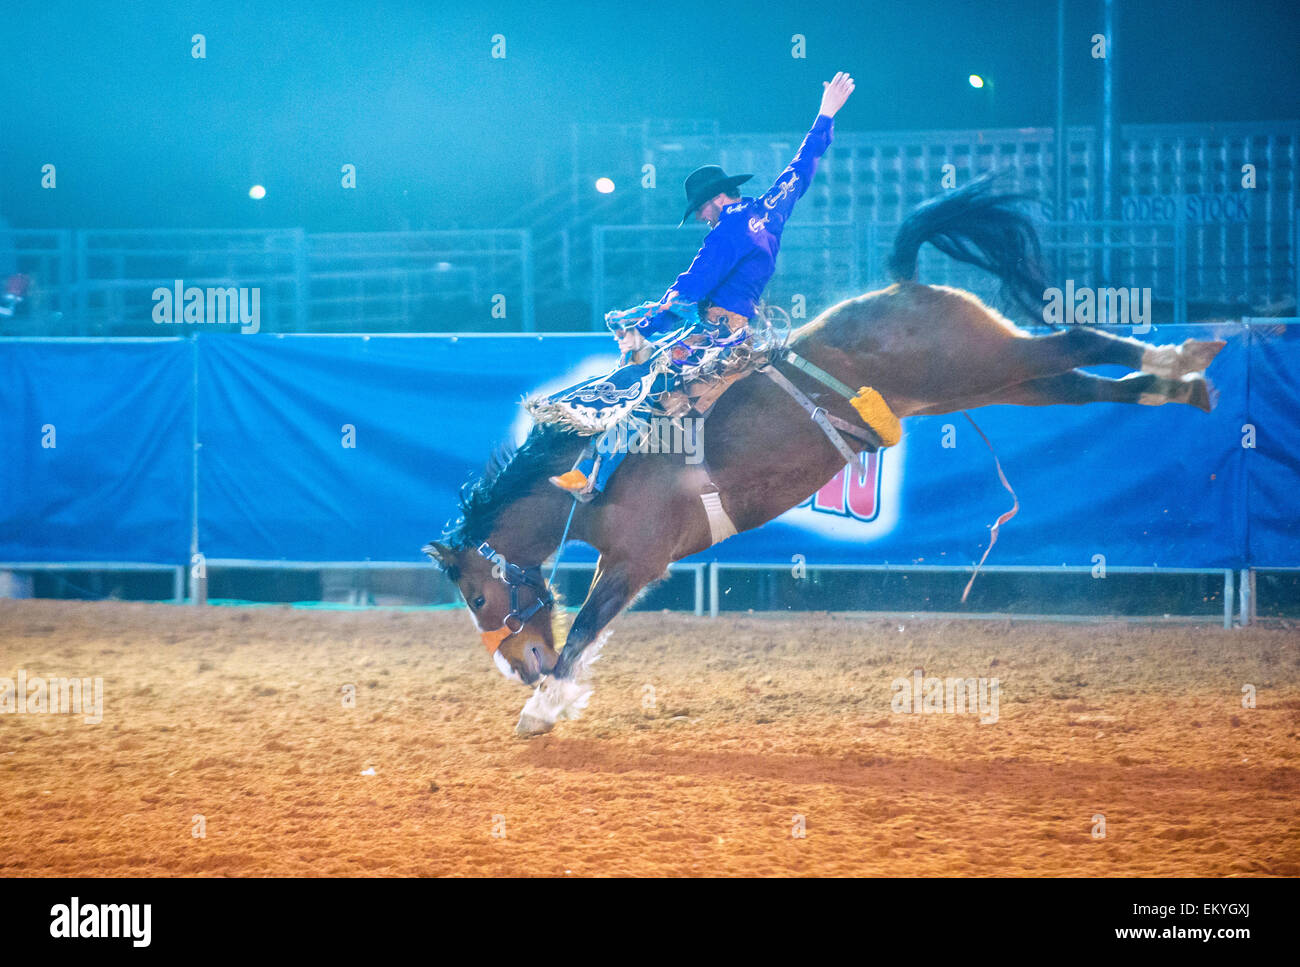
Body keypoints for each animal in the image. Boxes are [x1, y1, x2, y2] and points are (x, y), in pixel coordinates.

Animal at [423, 175, 1225, 733]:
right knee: (1084, 382)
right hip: (1000, 381)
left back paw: (1184, 352)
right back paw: (1184, 387)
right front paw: (554, 701)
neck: (589, 481)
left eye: (475, 596)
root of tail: (903, 282)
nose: (512, 668)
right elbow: (587, 637)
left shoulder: (637, 558)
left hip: (983, 364)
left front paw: (542, 708)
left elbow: (584, 630)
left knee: (1080, 340)